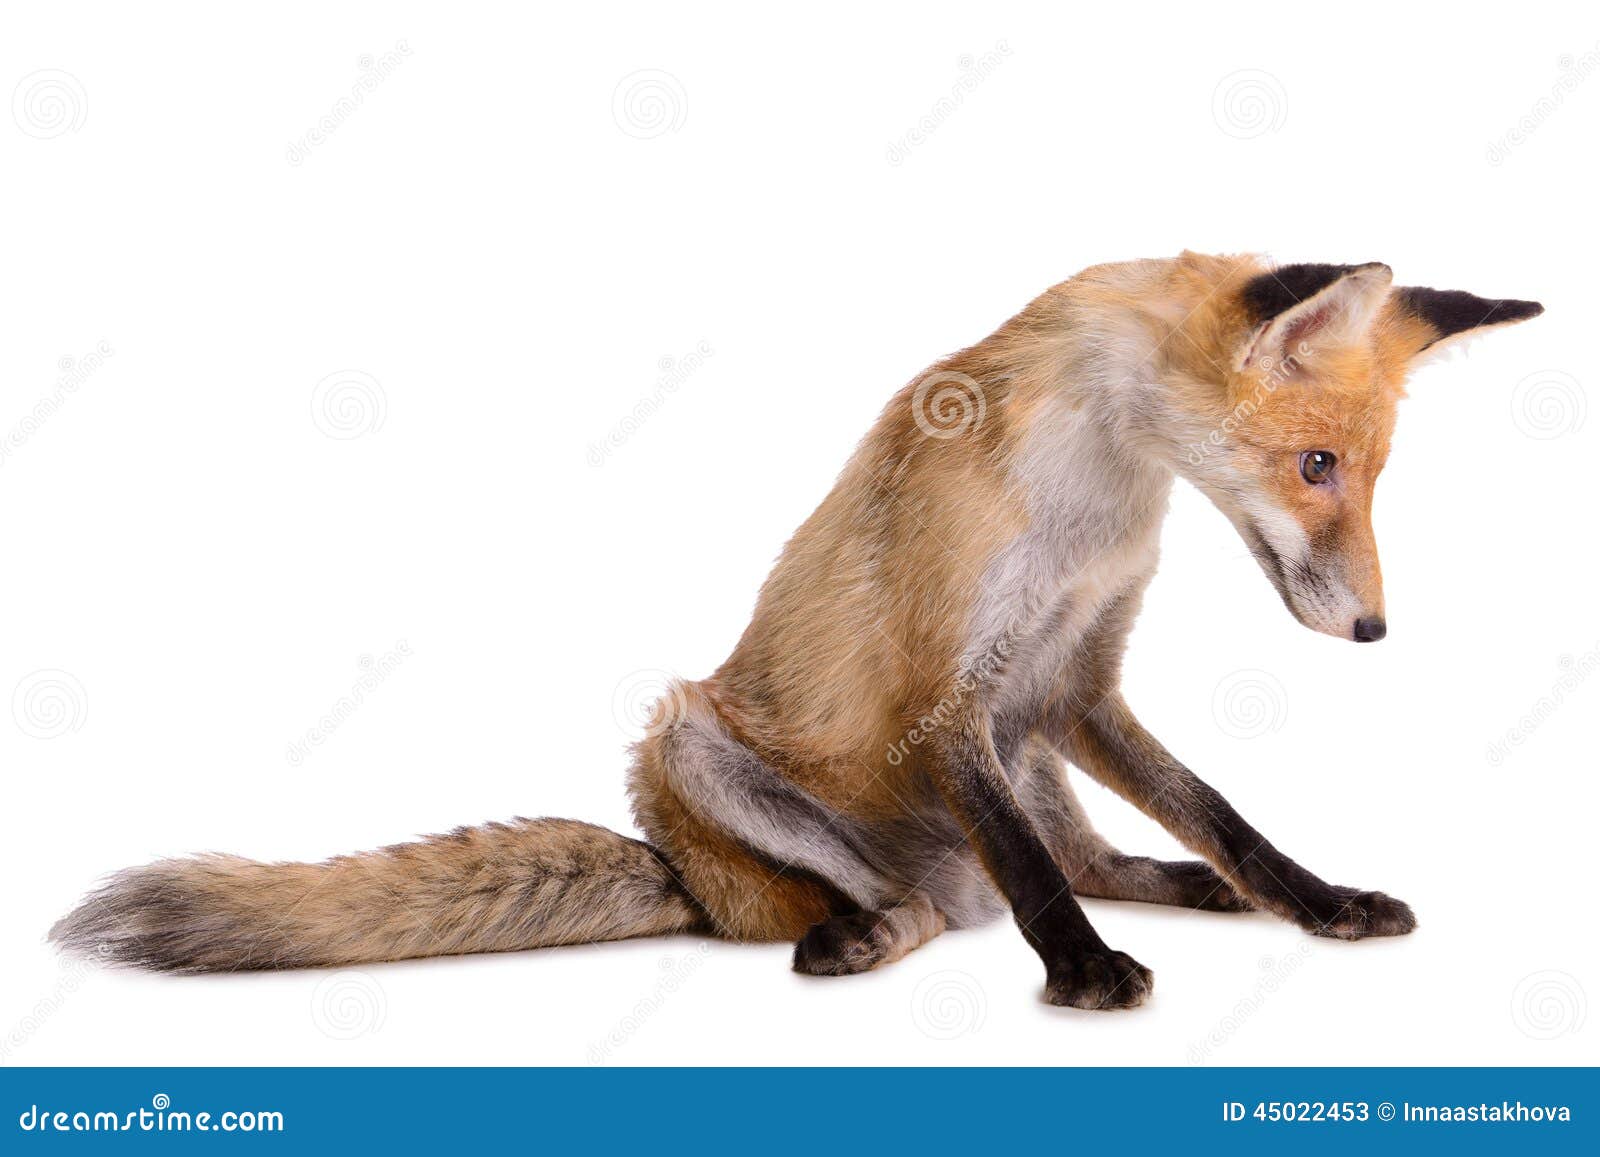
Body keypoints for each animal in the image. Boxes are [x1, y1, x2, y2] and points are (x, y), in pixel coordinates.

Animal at [52, 253, 1543, 1009]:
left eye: (1372, 472)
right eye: (1314, 467)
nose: (1375, 630)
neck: (1096, 500)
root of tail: (684, 876)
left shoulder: (1074, 682)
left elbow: (1224, 815)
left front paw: (1316, 900)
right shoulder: (950, 692)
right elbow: (1038, 881)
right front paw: (1080, 973)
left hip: (1031, 753)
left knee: (1090, 857)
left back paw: (1182, 892)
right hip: (690, 746)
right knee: (936, 902)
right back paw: (860, 938)